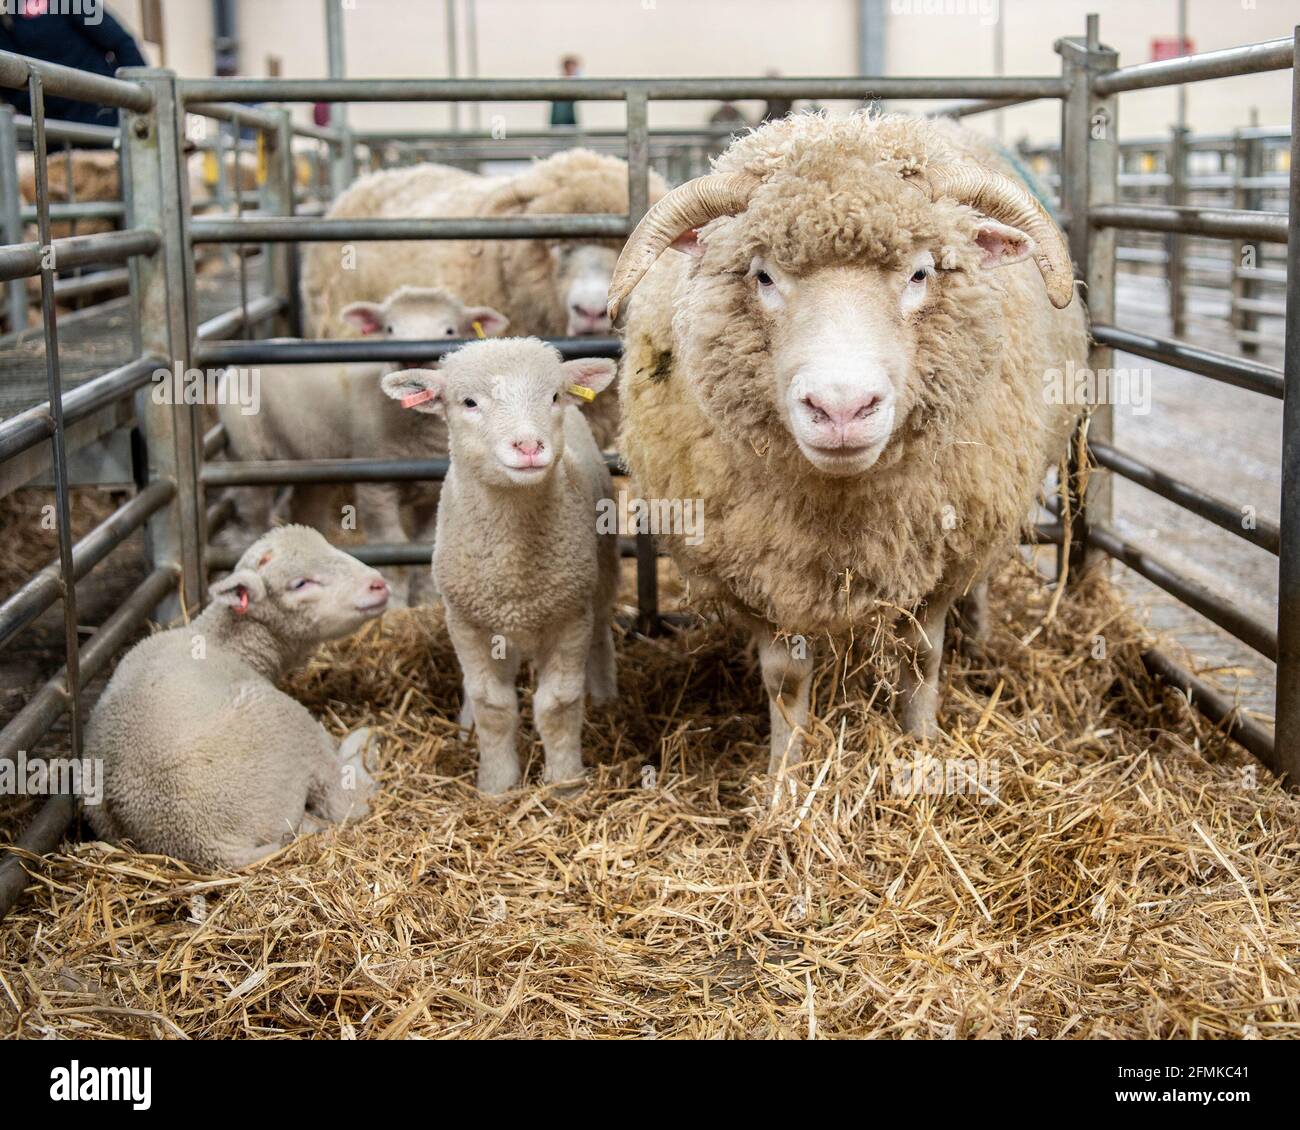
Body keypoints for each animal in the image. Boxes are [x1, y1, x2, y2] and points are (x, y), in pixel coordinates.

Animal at [84, 526, 390, 869]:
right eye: (300, 583)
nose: (378, 584)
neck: (223, 643)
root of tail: (209, 845)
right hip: (286, 724)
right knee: (346, 800)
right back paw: (364, 745)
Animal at [216, 285, 509, 604]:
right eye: (390, 328)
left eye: (449, 330)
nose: (411, 360)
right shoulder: (376, 488)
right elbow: (395, 549)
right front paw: (396, 604)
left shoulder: (432, 492)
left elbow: (425, 550)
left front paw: (425, 601)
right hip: (248, 453)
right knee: (251, 516)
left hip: (313, 462)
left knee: (305, 507)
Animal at [379, 339, 619, 794]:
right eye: (469, 402)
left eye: (554, 396)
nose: (528, 446)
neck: (512, 566)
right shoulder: (467, 622)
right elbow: (492, 705)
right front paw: (497, 786)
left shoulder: (570, 617)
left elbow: (558, 704)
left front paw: (566, 783)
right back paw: (466, 726)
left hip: (603, 573)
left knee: (601, 635)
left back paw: (602, 697)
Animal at [608, 112, 1086, 772]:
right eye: (763, 275)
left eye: (921, 272)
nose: (841, 407)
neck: (843, 506)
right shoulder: (764, 572)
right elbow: (785, 682)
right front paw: (783, 775)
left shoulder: (937, 561)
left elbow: (922, 660)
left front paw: (921, 745)